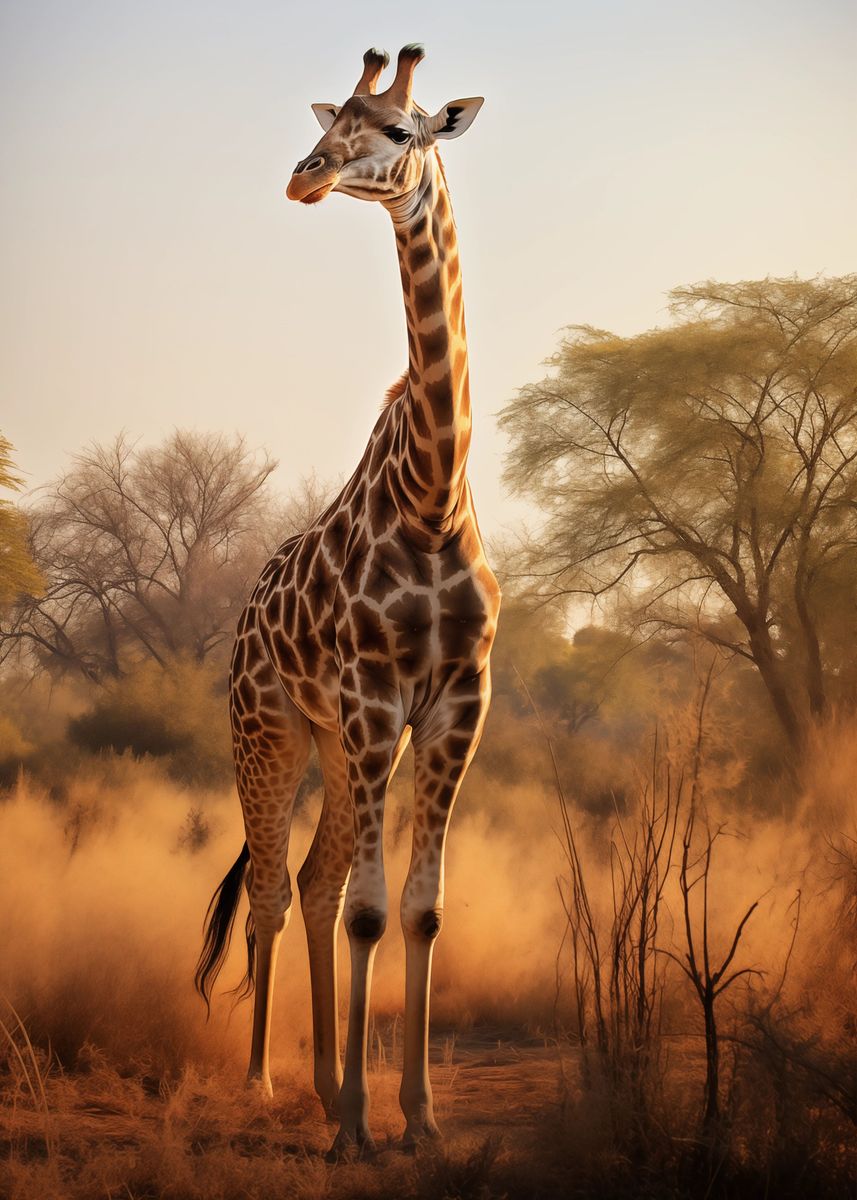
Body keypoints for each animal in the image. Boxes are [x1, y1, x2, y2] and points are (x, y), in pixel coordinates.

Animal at [195, 44, 500, 1156]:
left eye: (400, 130)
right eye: (332, 123)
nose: (305, 175)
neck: (434, 496)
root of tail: (244, 620)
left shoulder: (454, 704)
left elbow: (418, 908)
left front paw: (417, 1121)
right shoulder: (375, 699)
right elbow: (371, 908)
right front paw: (363, 1132)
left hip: (333, 742)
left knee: (316, 884)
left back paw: (329, 1085)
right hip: (272, 730)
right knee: (275, 890)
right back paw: (266, 1085)